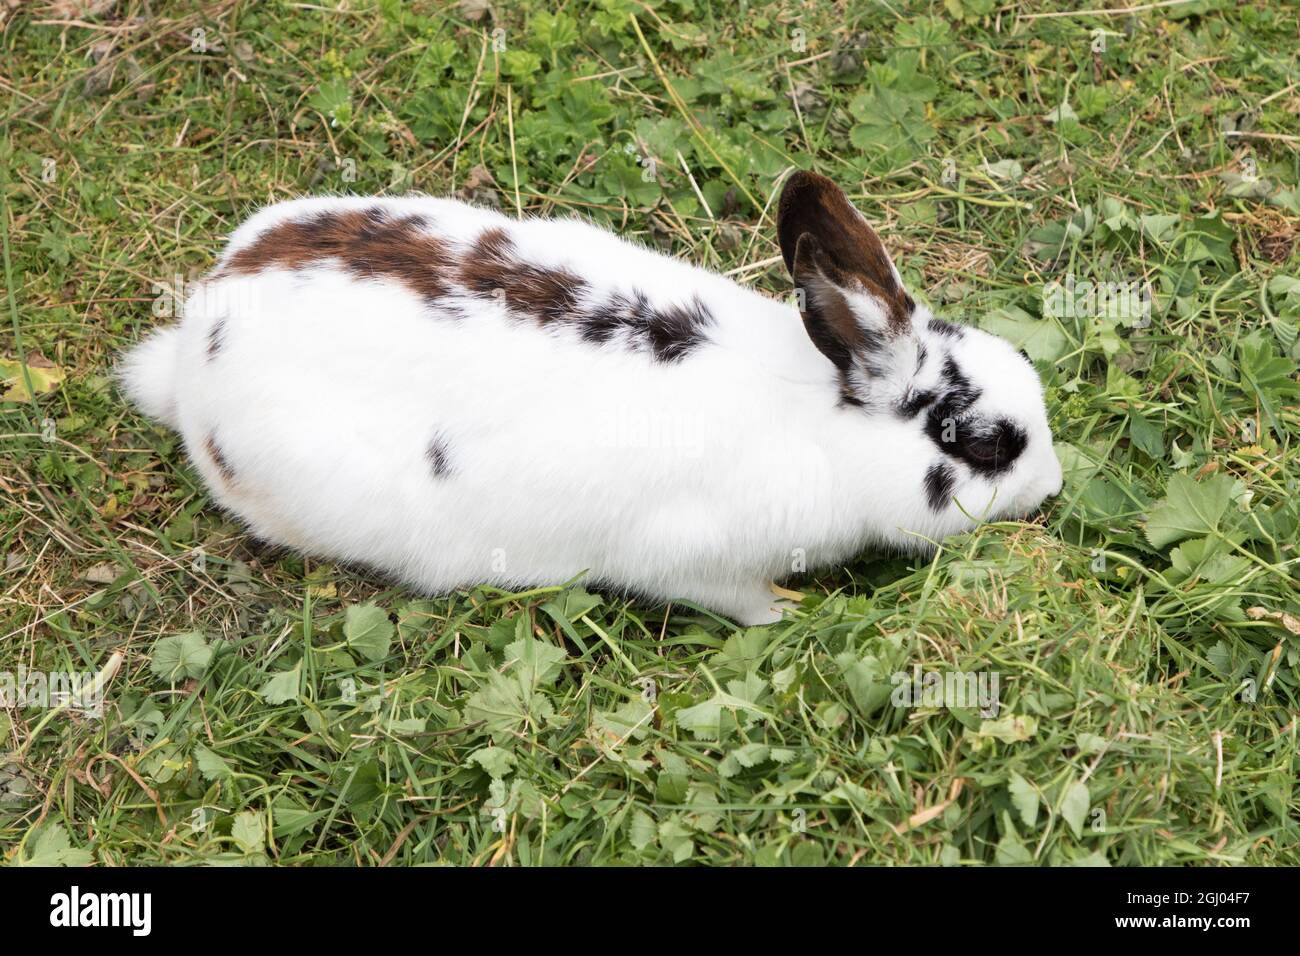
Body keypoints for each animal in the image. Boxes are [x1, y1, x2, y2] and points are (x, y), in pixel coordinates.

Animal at [118, 170, 1063, 626]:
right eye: (986, 443)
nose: (1052, 488)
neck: (821, 432)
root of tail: (192, 353)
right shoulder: (692, 557)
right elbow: (737, 600)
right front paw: (790, 613)